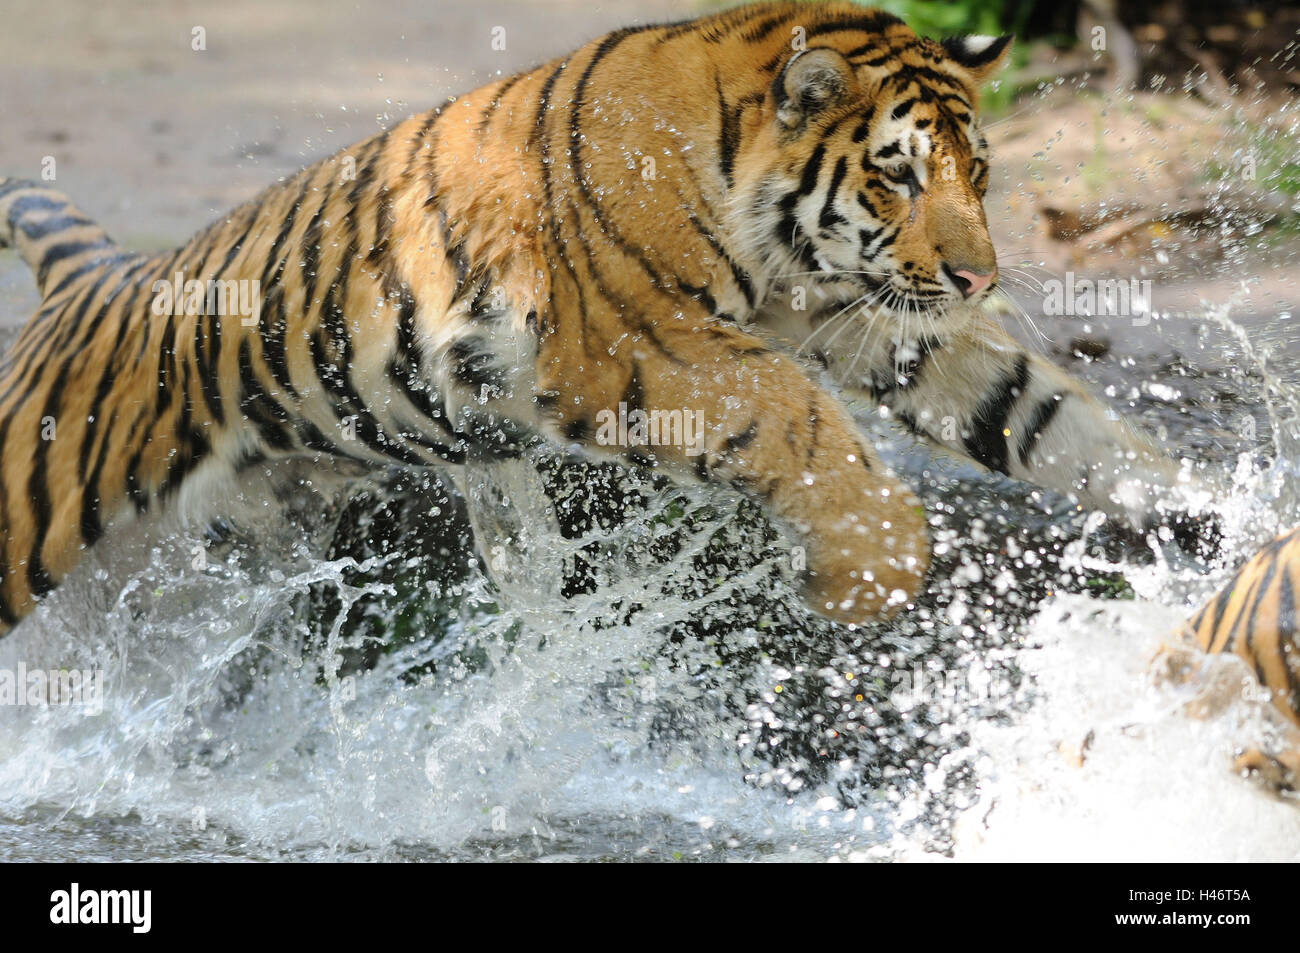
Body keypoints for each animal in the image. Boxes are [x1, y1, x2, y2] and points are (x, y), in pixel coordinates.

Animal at [0, 1, 1205, 640]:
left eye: (978, 173)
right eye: (898, 175)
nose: (974, 274)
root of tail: (97, 279)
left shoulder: (865, 313)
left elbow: (1046, 414)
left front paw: (1203, 524)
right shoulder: (637, 347)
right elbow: (802, 421)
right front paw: (868, 577)